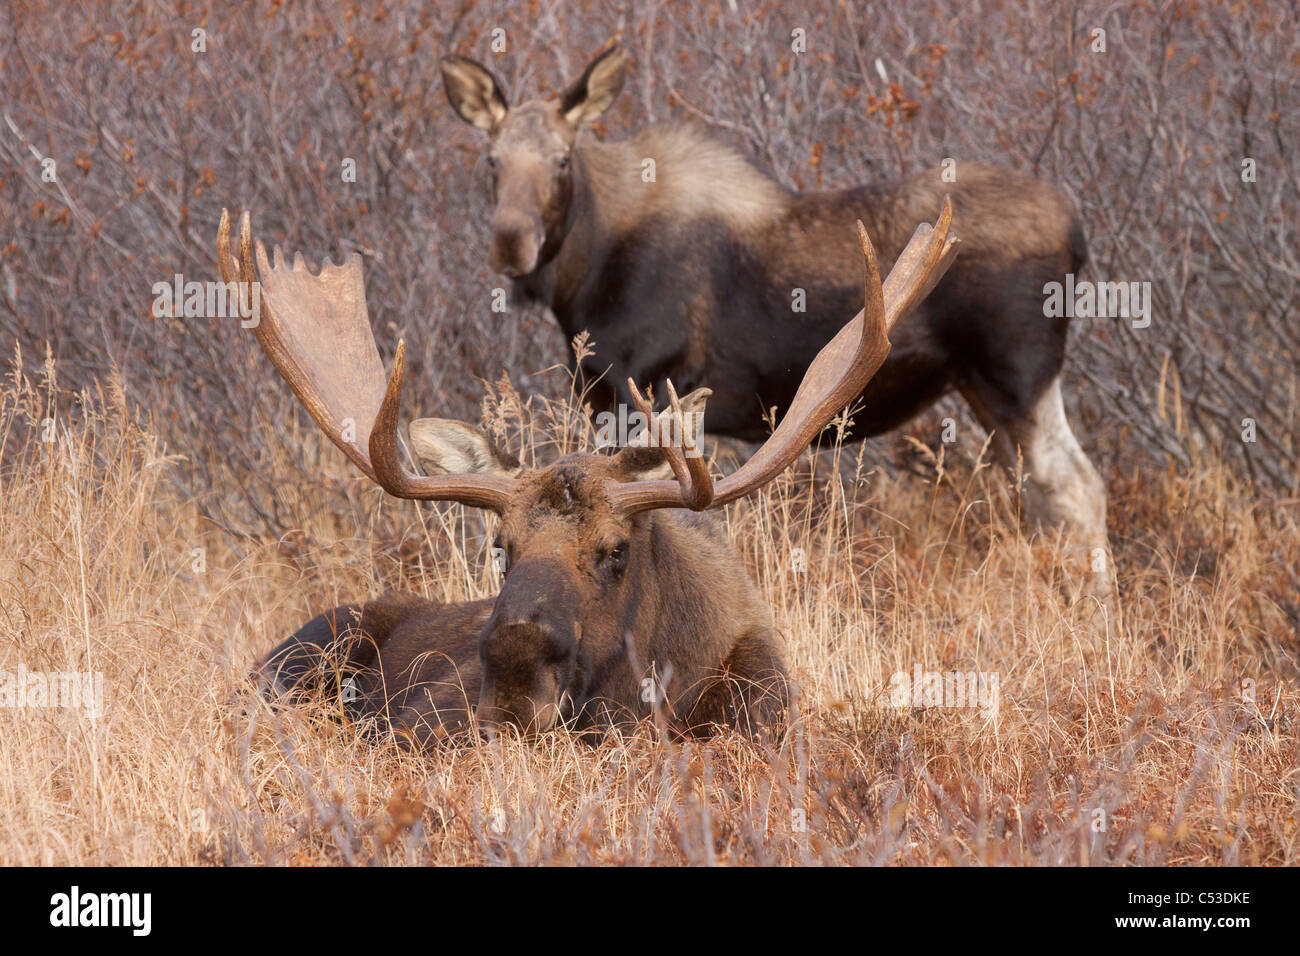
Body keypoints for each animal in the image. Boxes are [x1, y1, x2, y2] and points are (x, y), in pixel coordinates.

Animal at [439, 44, 1111, 595]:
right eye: (492, 160)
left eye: (561, 160)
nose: (511, 241)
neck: (588, 266)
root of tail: (1078, 232)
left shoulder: (640, 388)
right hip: (983, 388)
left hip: (1017, 375)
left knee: (1079, 488)